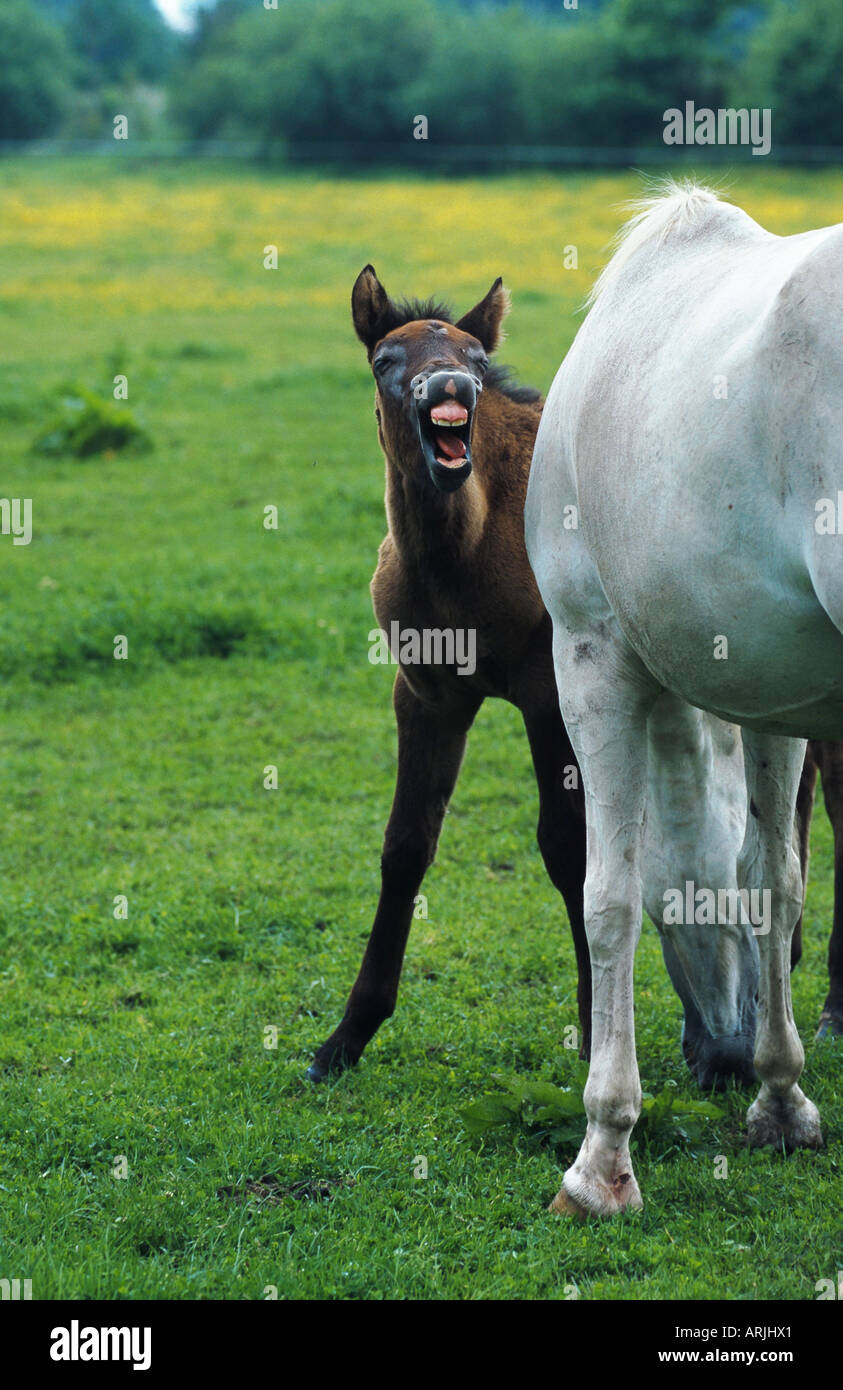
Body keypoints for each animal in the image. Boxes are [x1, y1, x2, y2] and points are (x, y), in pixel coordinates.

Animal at [525, 182, 843, 1217]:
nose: (721, 1054)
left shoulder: (590, 657)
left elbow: (608, 897)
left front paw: (600, 1160)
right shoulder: (780, 699)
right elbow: (775, 877)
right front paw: (780, 1101)